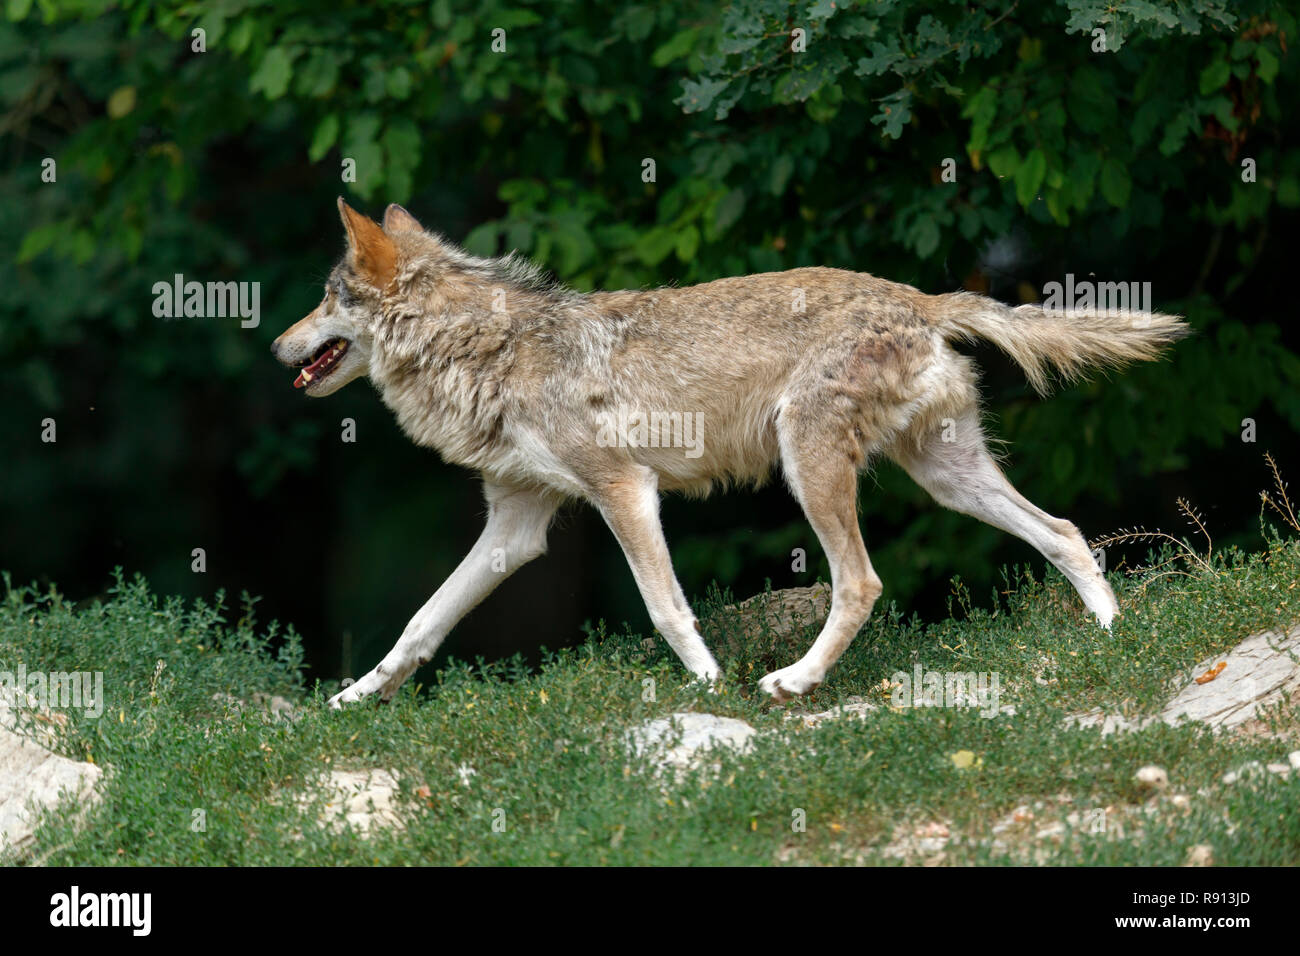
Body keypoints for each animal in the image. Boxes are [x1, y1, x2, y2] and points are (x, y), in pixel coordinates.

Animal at [271, 199, 1187, 707]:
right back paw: (1115, 638)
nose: (278, 344)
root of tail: (920, 297)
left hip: (809, 466)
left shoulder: (625, 491)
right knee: (1065, 532)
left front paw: (711, 689)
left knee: (863, 583)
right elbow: (420, 624)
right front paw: (353, 698)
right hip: (948, 480)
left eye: (324, 298)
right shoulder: (515, 527)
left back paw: (793, 684)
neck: (485, 349)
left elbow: (667, 611)